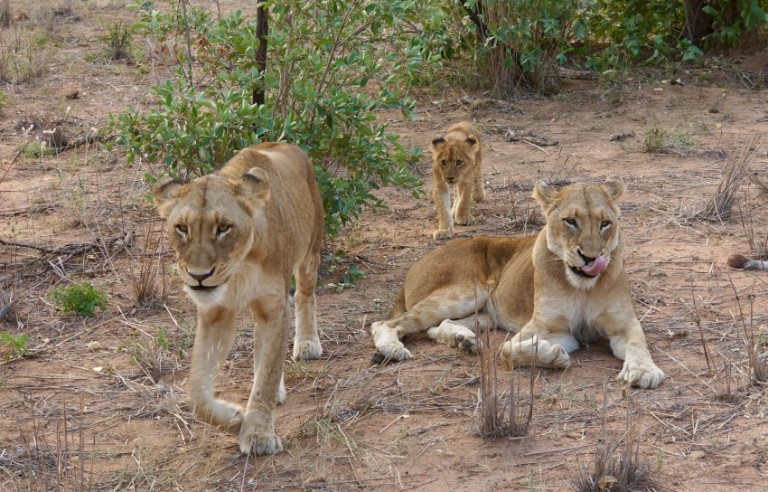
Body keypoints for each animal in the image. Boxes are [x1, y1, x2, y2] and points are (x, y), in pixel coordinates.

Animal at [152, 142, 324, 455]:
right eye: (182, 228)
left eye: (223, 228)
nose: (198, 276)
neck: (239, 267)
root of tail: (285, 144)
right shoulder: (216, 313)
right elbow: (197, 390)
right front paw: (234, 418)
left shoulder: (273, 307)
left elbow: (267, 375)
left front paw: (258, 435)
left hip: (310, 252)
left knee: (305, 296)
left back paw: (307, 344)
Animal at [371, 177, 665, 389]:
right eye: (570, 221)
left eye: (605, 223)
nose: (591, 258)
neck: (582, 288)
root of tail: (417, 263)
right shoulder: (547, 327)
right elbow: (507, 350)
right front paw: (552, 356)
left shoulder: (623, 324)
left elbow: (638, 345)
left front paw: (644, 371)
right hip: (464, 292)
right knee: (385, 323)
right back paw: (394, 349)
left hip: (484, 315)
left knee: (437, 326)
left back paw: (463, 340)